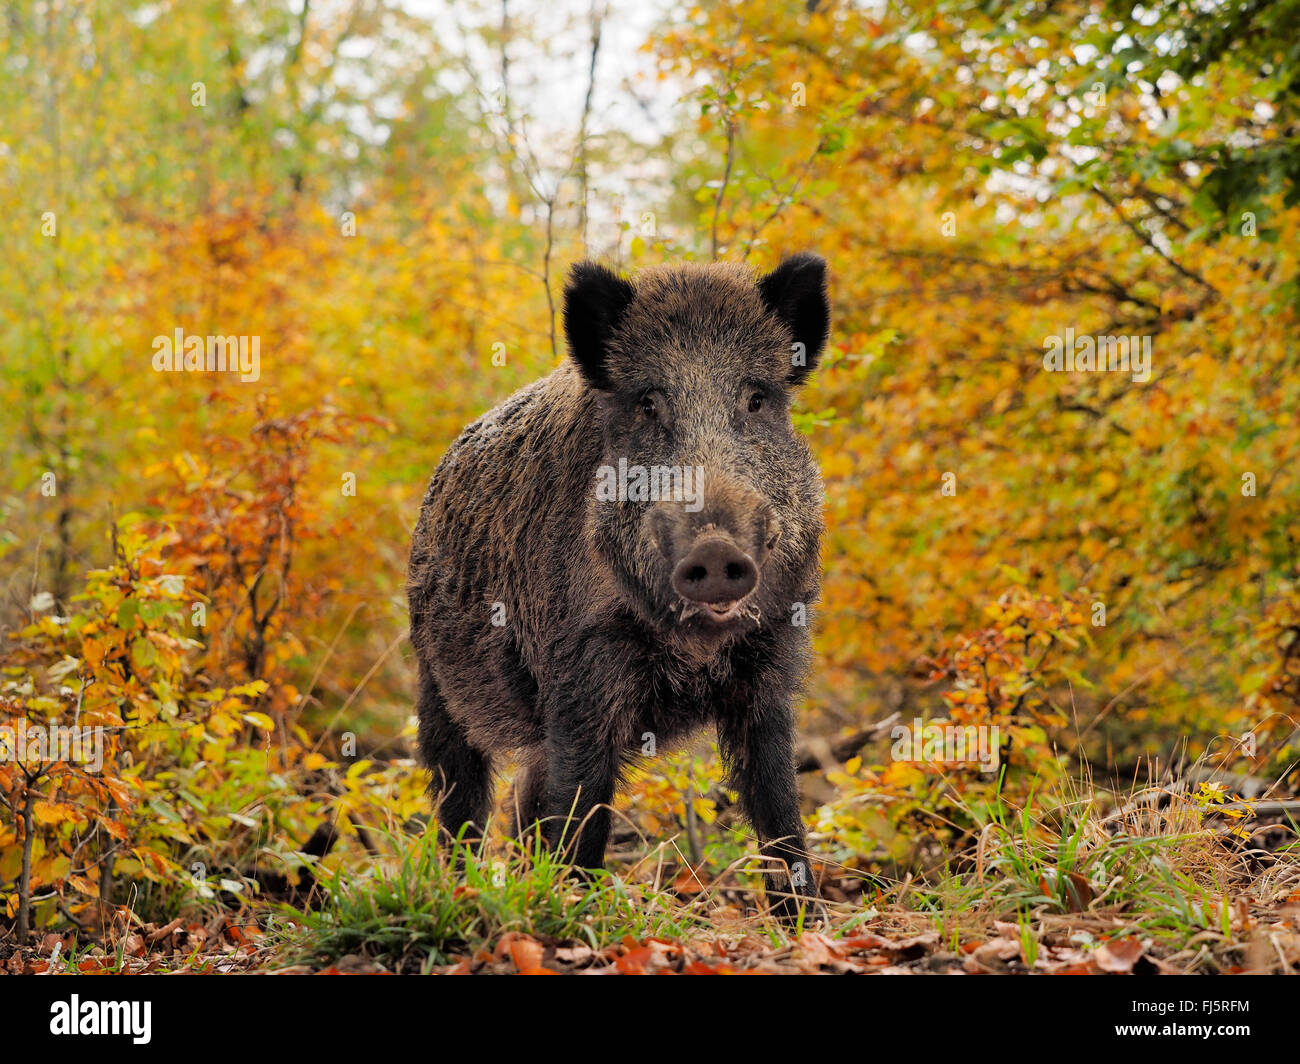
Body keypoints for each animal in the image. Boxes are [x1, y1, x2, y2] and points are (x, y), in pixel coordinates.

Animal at [407, 253, 829, 920]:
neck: (692, 648)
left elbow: (780, 811)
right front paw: (573, 911)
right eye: (648, 403)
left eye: (758, 398)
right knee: (462, 801)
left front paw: (806, 926)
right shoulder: (581, 672)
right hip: (435, 680)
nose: (715, 550)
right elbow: (584, 813)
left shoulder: (769, 667)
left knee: (525, 799)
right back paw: (456, 887)